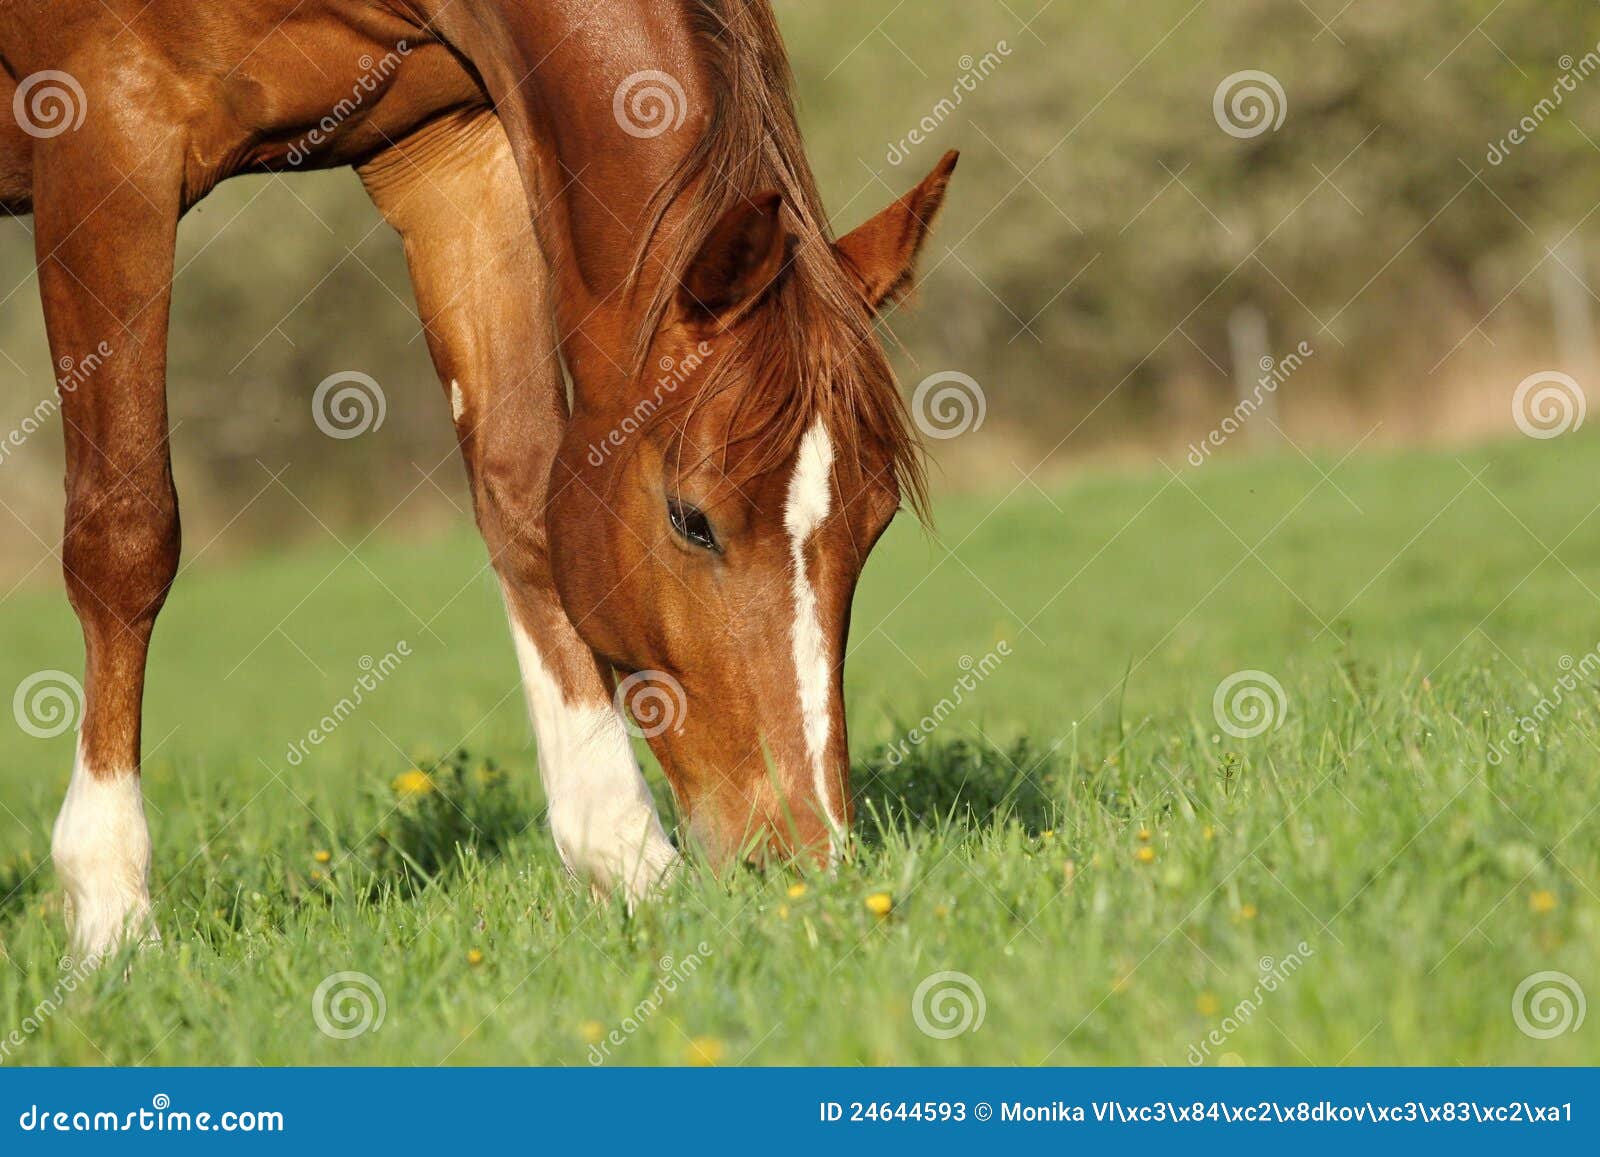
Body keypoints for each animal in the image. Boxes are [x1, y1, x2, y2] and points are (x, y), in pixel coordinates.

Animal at [0, 0, 956, 960]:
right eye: (693, 519)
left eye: (874, 523)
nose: (804, 861)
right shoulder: (106, 132)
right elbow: (126, 534)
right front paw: (112, 913)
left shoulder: (451, 153)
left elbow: (520, 493)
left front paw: (625, 861)